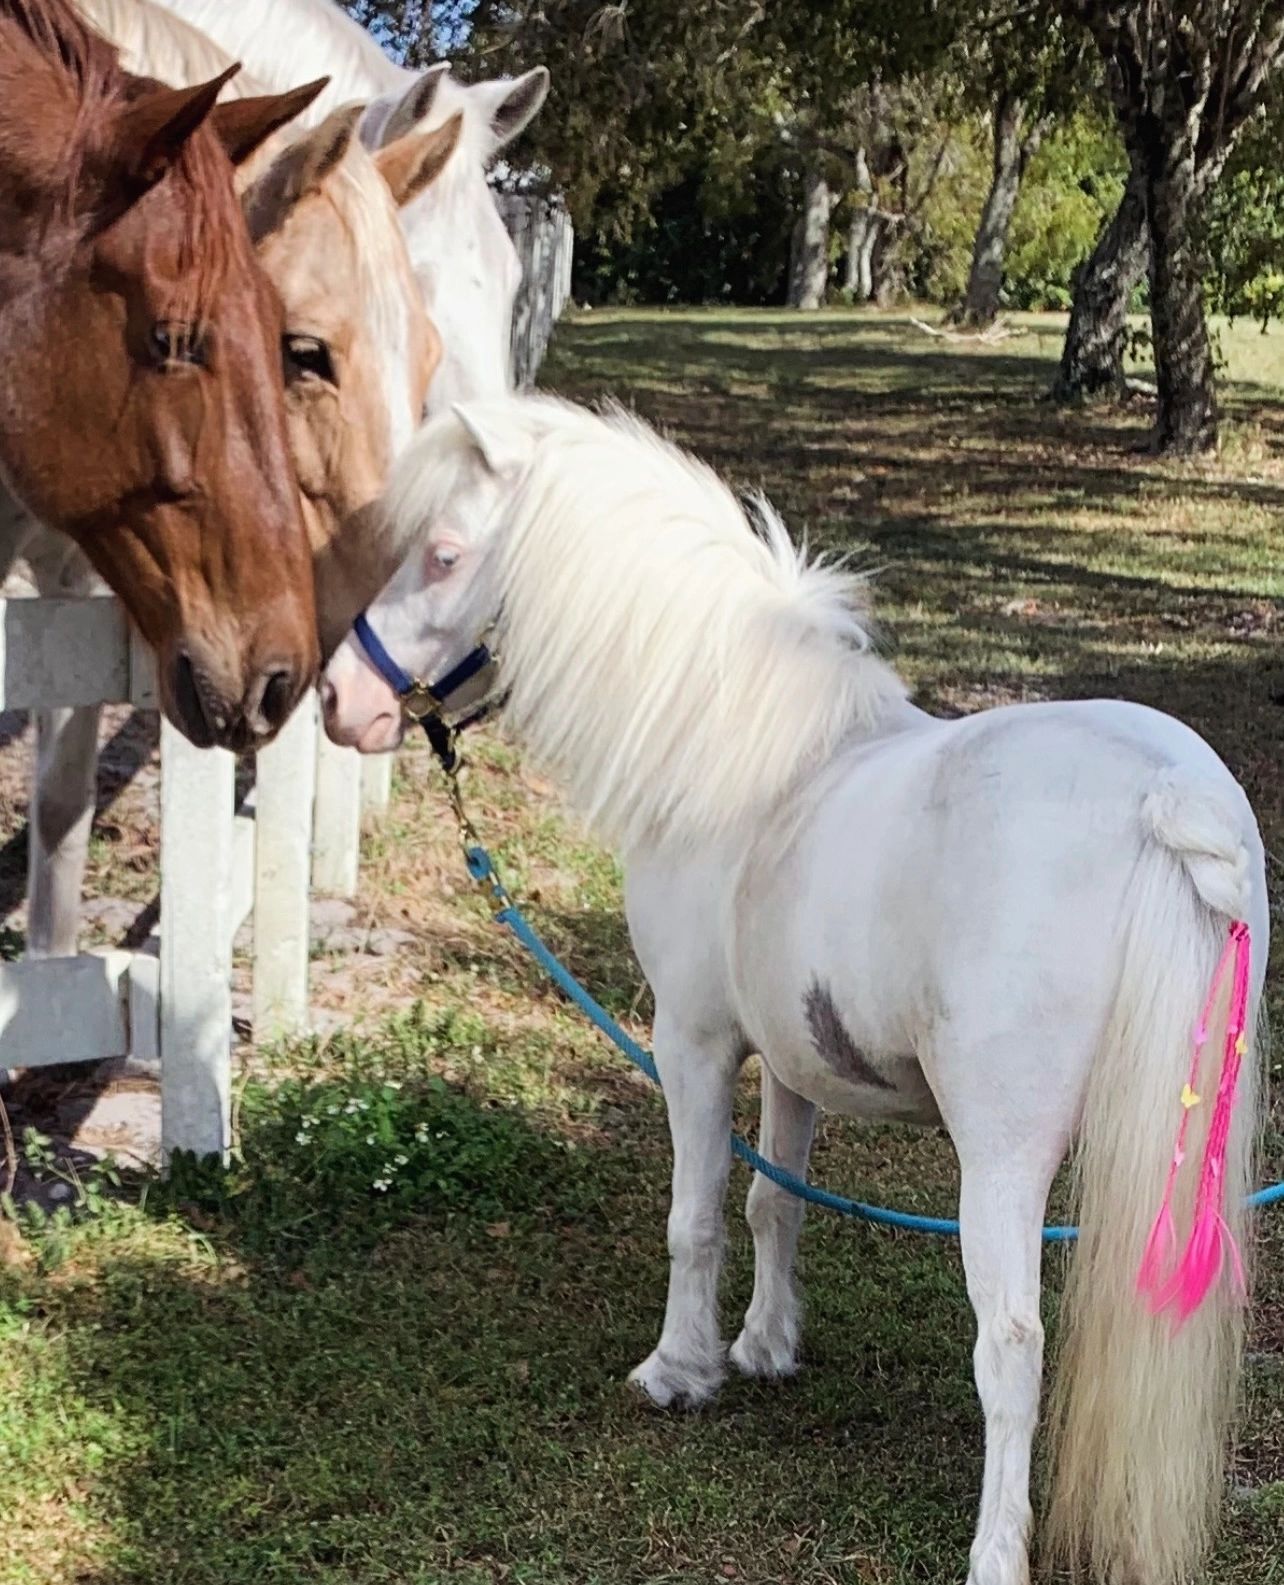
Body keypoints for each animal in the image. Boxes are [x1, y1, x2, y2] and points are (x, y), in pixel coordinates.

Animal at [320, 394, 1269, 1585]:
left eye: (444, 554)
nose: (339, 699)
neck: (746, 758)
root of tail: (1168, 799)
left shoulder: (689, 1041)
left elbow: (694, 1215)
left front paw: (677, 1370)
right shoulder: (792, 1053)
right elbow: (775, 1200)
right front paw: (765, 1346)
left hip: (1005, 1155)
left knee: (1011, 1344)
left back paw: (995, 1551)